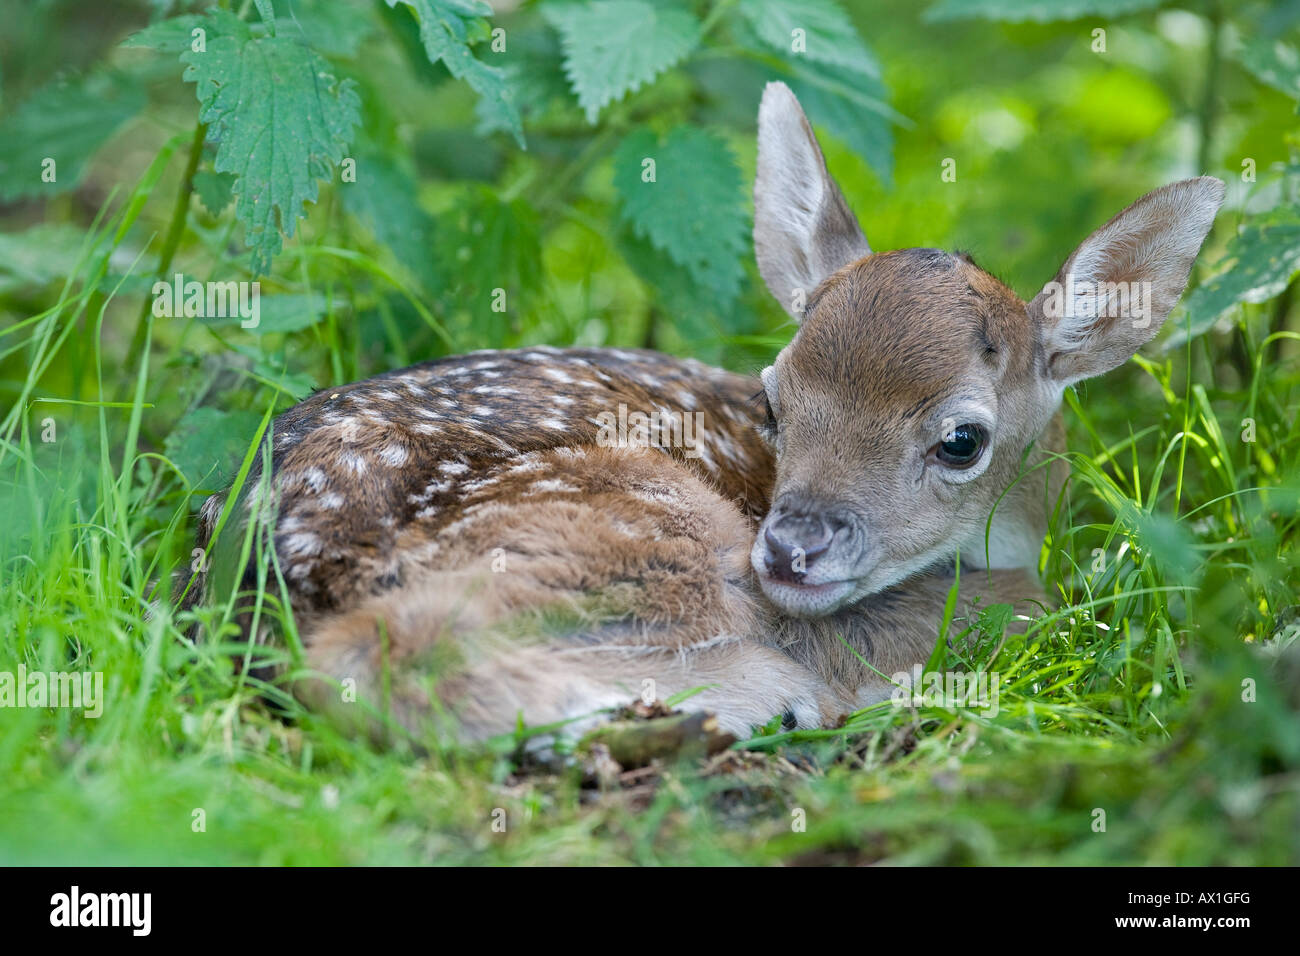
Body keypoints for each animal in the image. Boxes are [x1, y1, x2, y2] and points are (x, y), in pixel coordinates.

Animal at [186, 82, 1224, 749]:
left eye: (962, 440)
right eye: (772, 398)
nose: (792, 549)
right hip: (632, 528)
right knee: (389, 655)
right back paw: (751, 705)